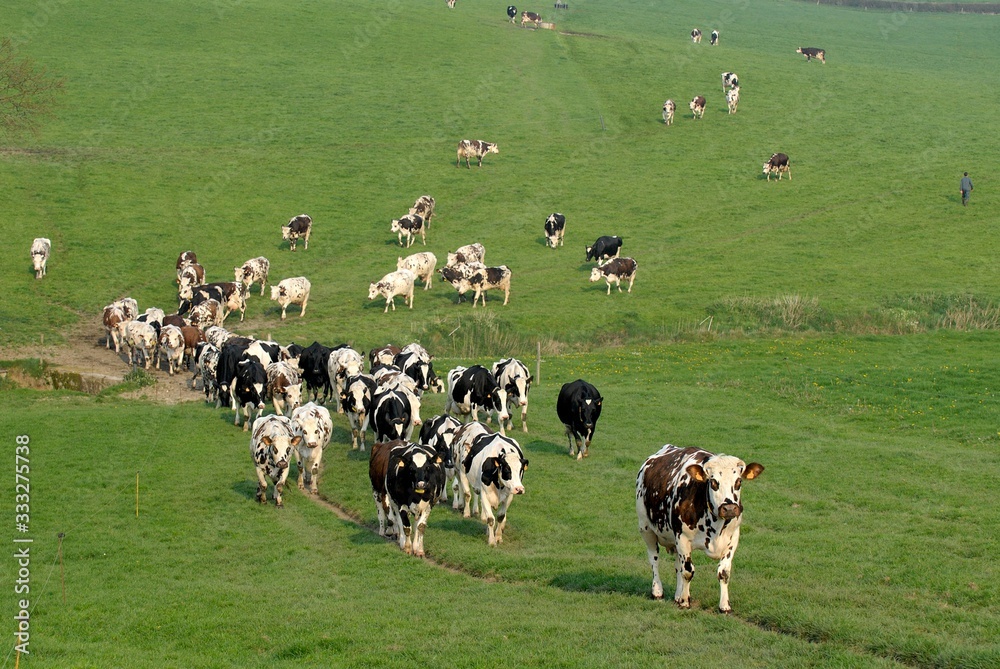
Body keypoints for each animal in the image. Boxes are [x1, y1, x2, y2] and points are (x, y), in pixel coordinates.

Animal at [636, 445, 764, 612]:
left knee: (677, 564)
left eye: (739, 481)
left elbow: (724, 572)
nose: (729, 509)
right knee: (654, 558)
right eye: (713, 481)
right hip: (646, 528)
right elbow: (688, 571)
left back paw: (677, 595)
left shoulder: (733, 539)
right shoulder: (683, 538)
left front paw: (724, 605)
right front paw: (685, 601)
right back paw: (657, 591)